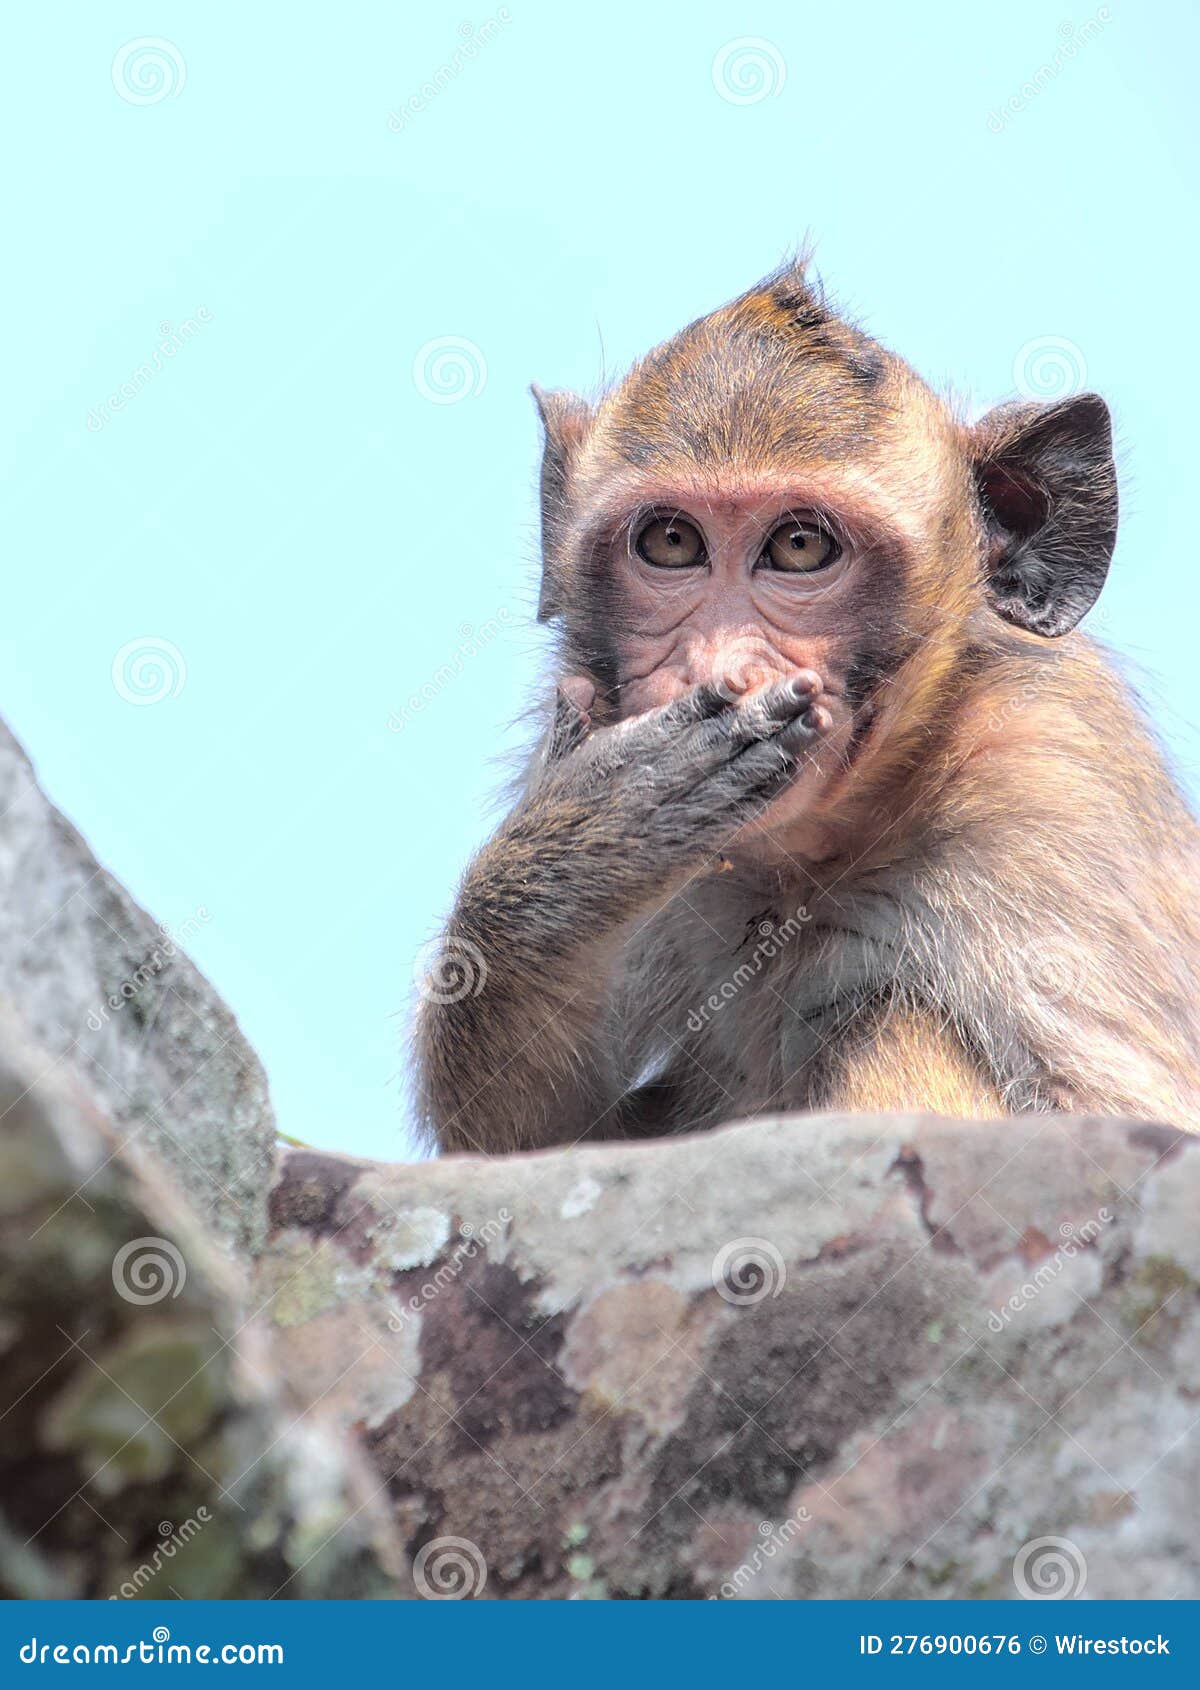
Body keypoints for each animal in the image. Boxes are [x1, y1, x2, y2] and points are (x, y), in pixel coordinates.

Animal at [414, 259, 1200, 1155]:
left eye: (799, 547)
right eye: (671, 543)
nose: (721, 670)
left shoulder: (1043, 791)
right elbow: (524, 1131)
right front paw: (581, 851)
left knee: (891, 1020)